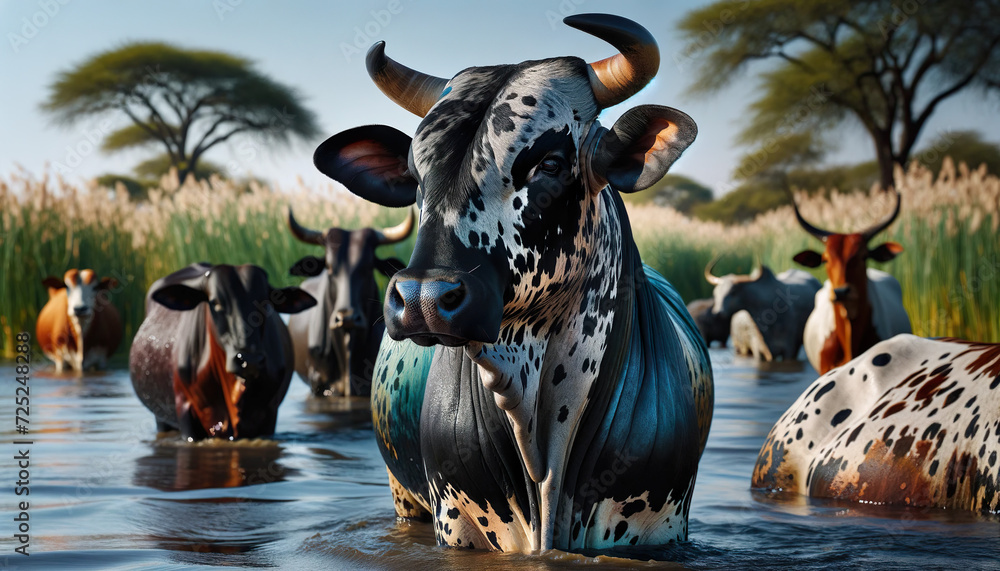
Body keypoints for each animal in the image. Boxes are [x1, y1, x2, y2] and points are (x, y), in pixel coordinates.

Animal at [129, 263, 315, 440]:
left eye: (267, 304)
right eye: (215, 303)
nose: (250, 360)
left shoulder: (269, 413)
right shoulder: (185, 409)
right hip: (161, 419)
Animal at [310, 13, 714, 553]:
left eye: (550, 163)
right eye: (417, 175)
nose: (422, 298)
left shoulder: (659, 526)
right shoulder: (455, 523)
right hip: (403, 497)